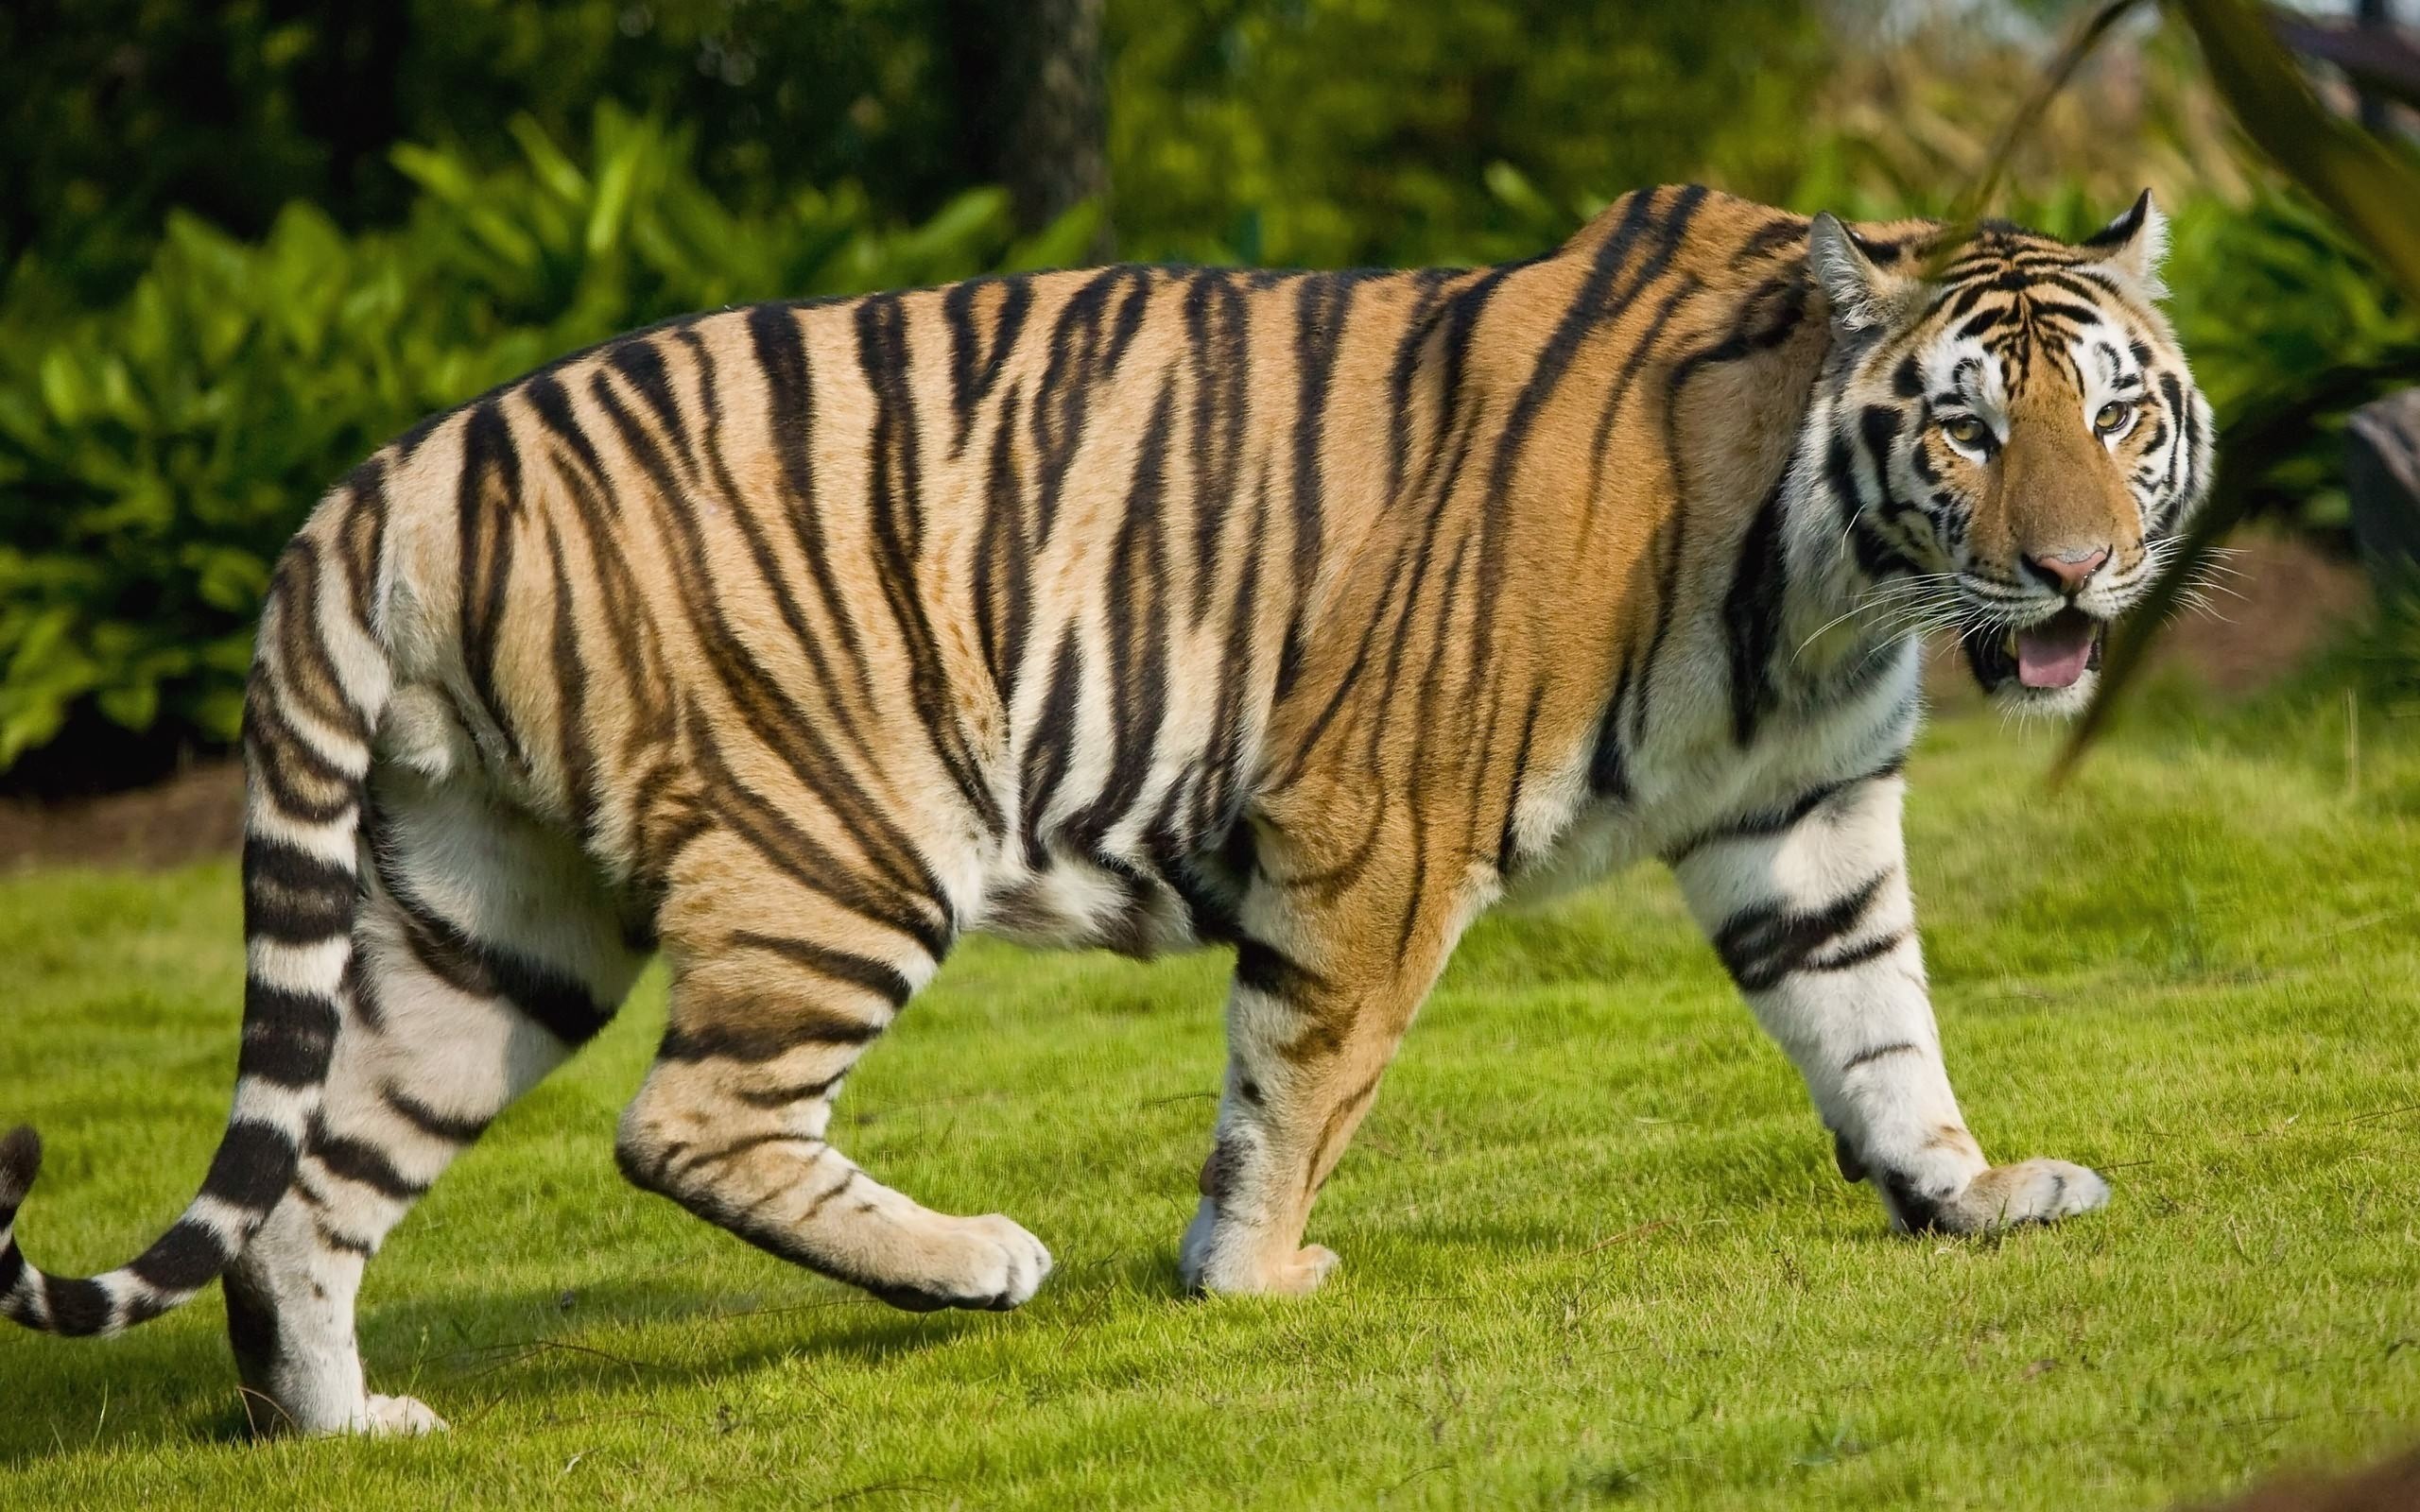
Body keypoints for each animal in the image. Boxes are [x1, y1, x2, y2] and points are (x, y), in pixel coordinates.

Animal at [0, 183, 2210, 1435]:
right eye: (1964, 426)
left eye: (2111, 413)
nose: (2078, 574)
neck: (1830, 586)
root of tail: (394, 467)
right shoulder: (1378, 815)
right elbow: (1305, 1070)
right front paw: (1253, 1277)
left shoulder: (1805, 817)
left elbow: (1877, 1021)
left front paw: (1966, 1190)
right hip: (844, 838)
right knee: (683, 1118)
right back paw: (973, 1260)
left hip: (492, 909)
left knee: (315, 1187)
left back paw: (345, 1423)